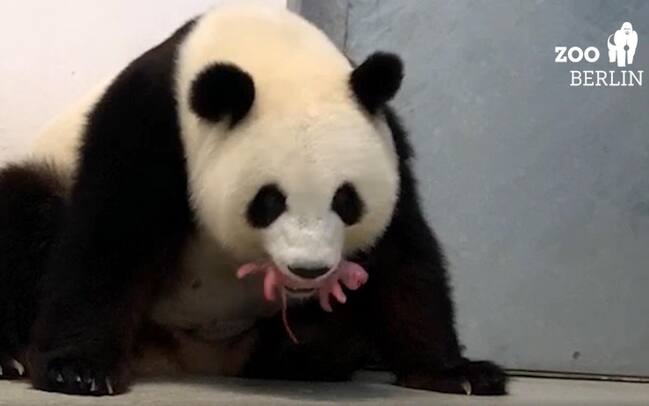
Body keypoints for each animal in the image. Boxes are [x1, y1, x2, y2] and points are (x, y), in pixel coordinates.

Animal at [0, 4, 507, 396]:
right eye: (269, 201)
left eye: (346, 201)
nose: (309, 270)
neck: (266, 47)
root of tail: (188, 359)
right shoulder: (153, 122)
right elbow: (112, 236)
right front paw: (77, 370)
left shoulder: (389, 142)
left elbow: (403, 258)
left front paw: (458, 373)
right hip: (50, 176)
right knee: (25, 216)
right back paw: (13, 358)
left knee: (335, 340)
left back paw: (297, 358)